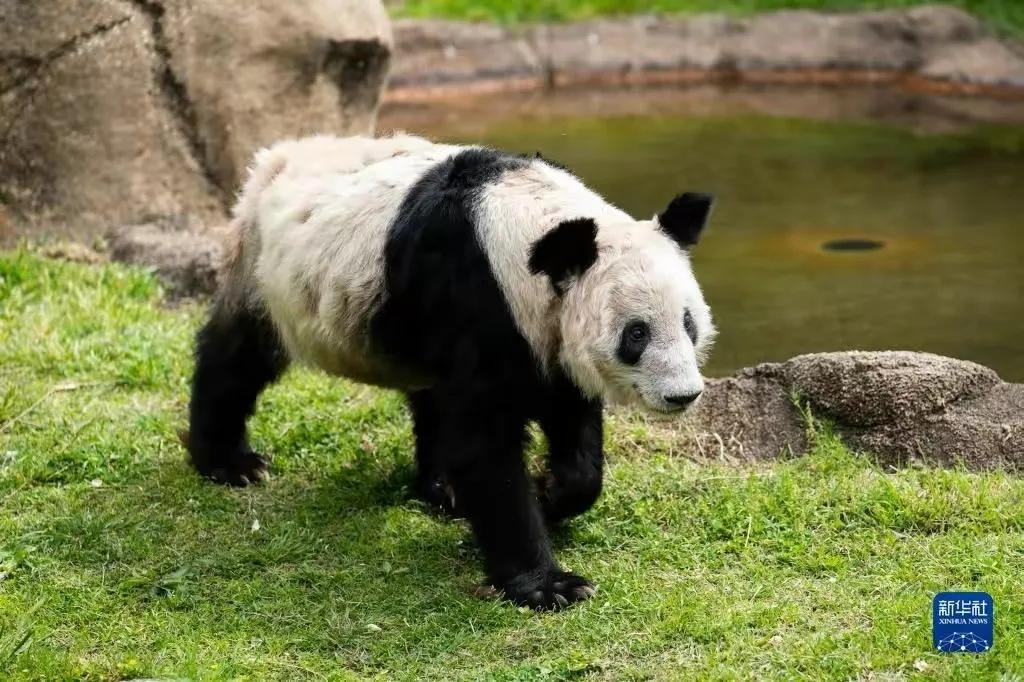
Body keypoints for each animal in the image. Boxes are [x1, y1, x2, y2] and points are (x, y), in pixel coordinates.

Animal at [187, 133, 716, 610]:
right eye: (636, 334)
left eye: (688, 322)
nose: (683, 395)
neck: (525, 227)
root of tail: (277, 154)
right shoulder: (475, 295)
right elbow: (486, 445)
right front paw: (548, 584)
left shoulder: (542, 330)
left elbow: (571, 423)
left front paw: (551, 492)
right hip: (263, 268)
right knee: (238, 356)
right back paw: (230, 462)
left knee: (432, 398)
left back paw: (442, 490)